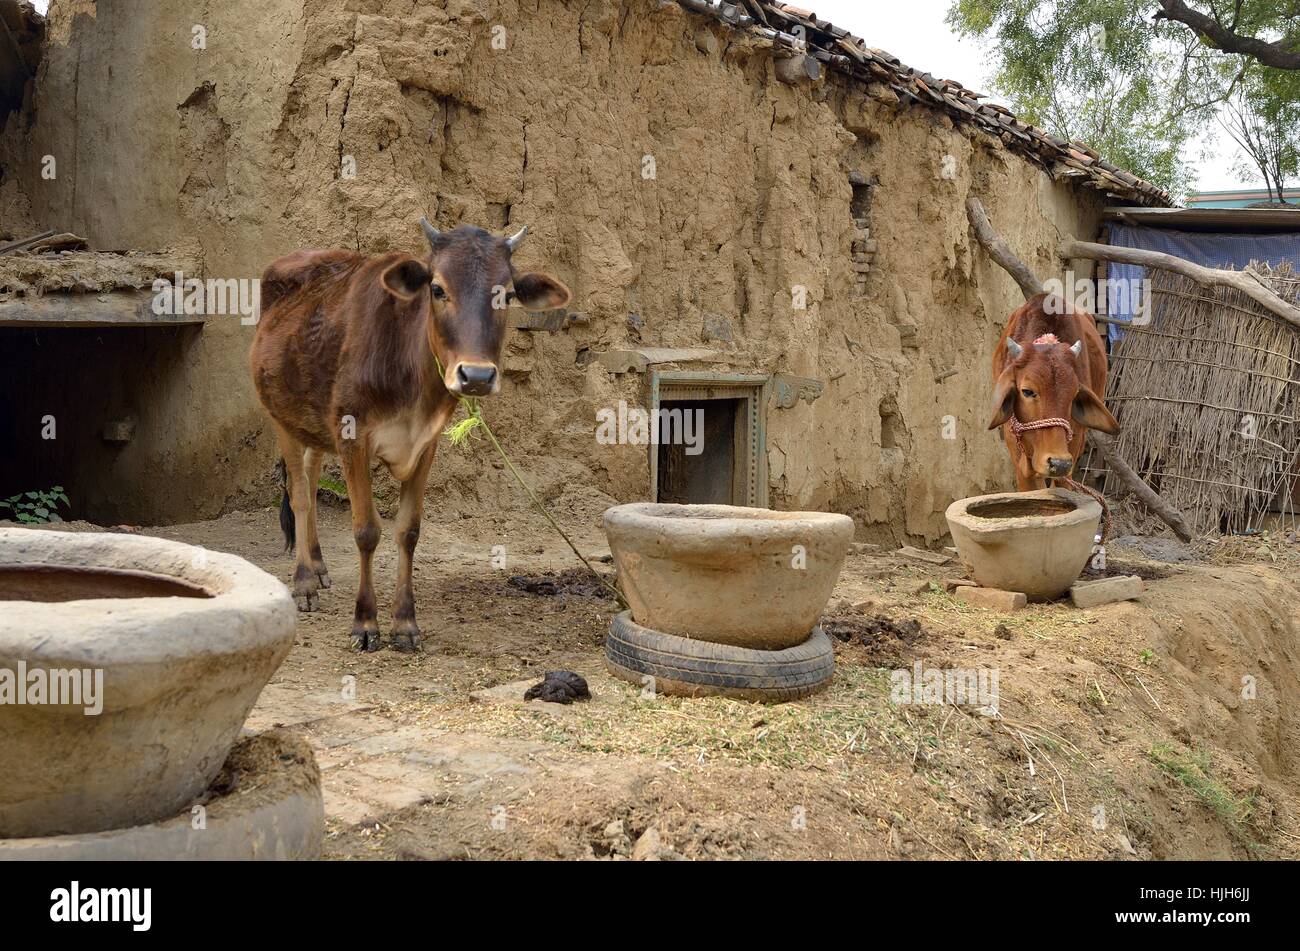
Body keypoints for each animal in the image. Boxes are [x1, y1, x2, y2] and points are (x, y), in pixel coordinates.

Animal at [249, 220, 571, 652]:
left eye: (506, 294)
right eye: (436, 288)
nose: (477, 375)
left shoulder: (425, 444)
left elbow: (408, 531)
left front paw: (404, 623)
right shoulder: (353, 436)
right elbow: (366, 530)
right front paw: (365, 624)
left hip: (316, 423)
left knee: (312, 478)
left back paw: (317, 565)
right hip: (280, 416)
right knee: (300, 495)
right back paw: (303, 583)